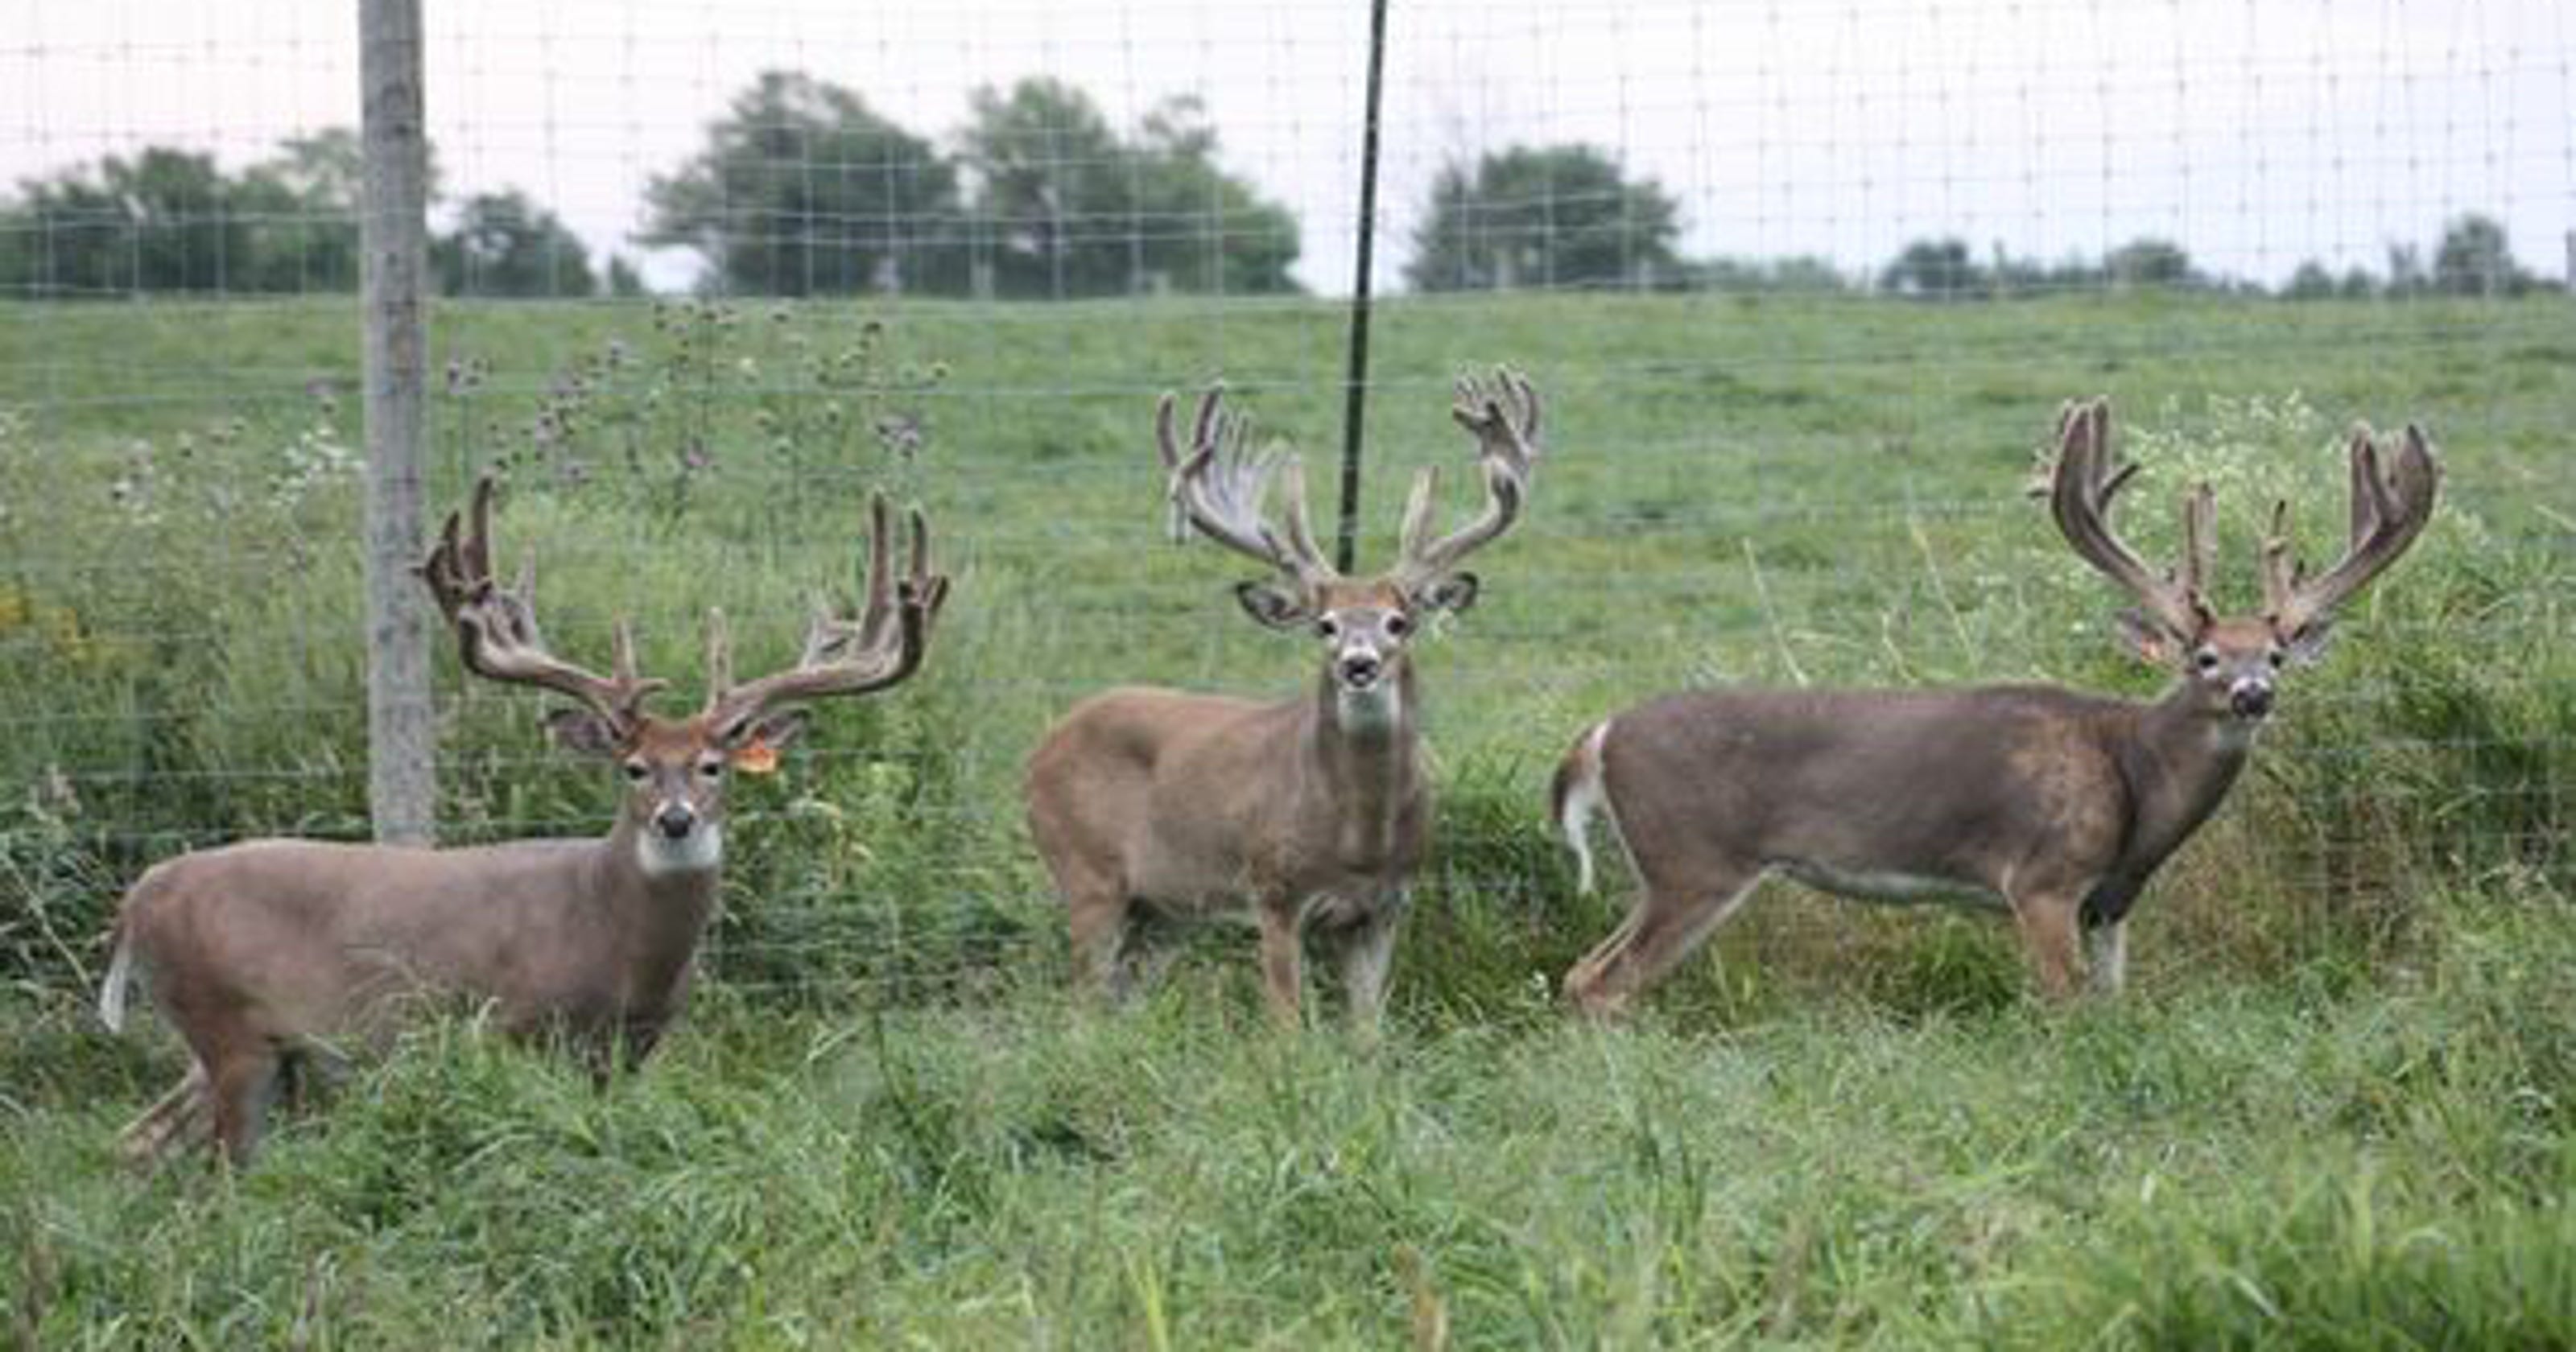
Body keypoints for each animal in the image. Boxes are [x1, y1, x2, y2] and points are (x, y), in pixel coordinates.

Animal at [94, 476, 948, 1165]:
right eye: (634, 767)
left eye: (715, 766)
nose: (675, 820)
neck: (615, 941)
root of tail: (139, 895)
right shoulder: (506, 1026)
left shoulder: (630, 1049)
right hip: (227, 1026)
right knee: (219, 1168)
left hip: (255, 1049)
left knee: (138, 1141)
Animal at [1023, 370, 1544, 1031]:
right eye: (1325, 624)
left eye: (1398, 622)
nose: (1358, 665)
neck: (1358, 839)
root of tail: (1044, 744)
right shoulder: (1273, 892)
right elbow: (1287, 1028)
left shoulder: (1385, 908)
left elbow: (1369, 1032)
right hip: (1085, 872)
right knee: (1083, 1007)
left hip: (1163, 910)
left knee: (1122, 1000)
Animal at [1553, 397, 2439, 1015]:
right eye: (2205, 658)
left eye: (2277, 654)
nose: (2254, 694)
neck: (2132, 771)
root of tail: (1598, 735)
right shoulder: (2042, 877)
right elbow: (2065, 1010)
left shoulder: (2111, 903)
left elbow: (2115, 1007)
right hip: (1692, 861)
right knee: (1598, 981)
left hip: (1669, 870)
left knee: (1577, 973)